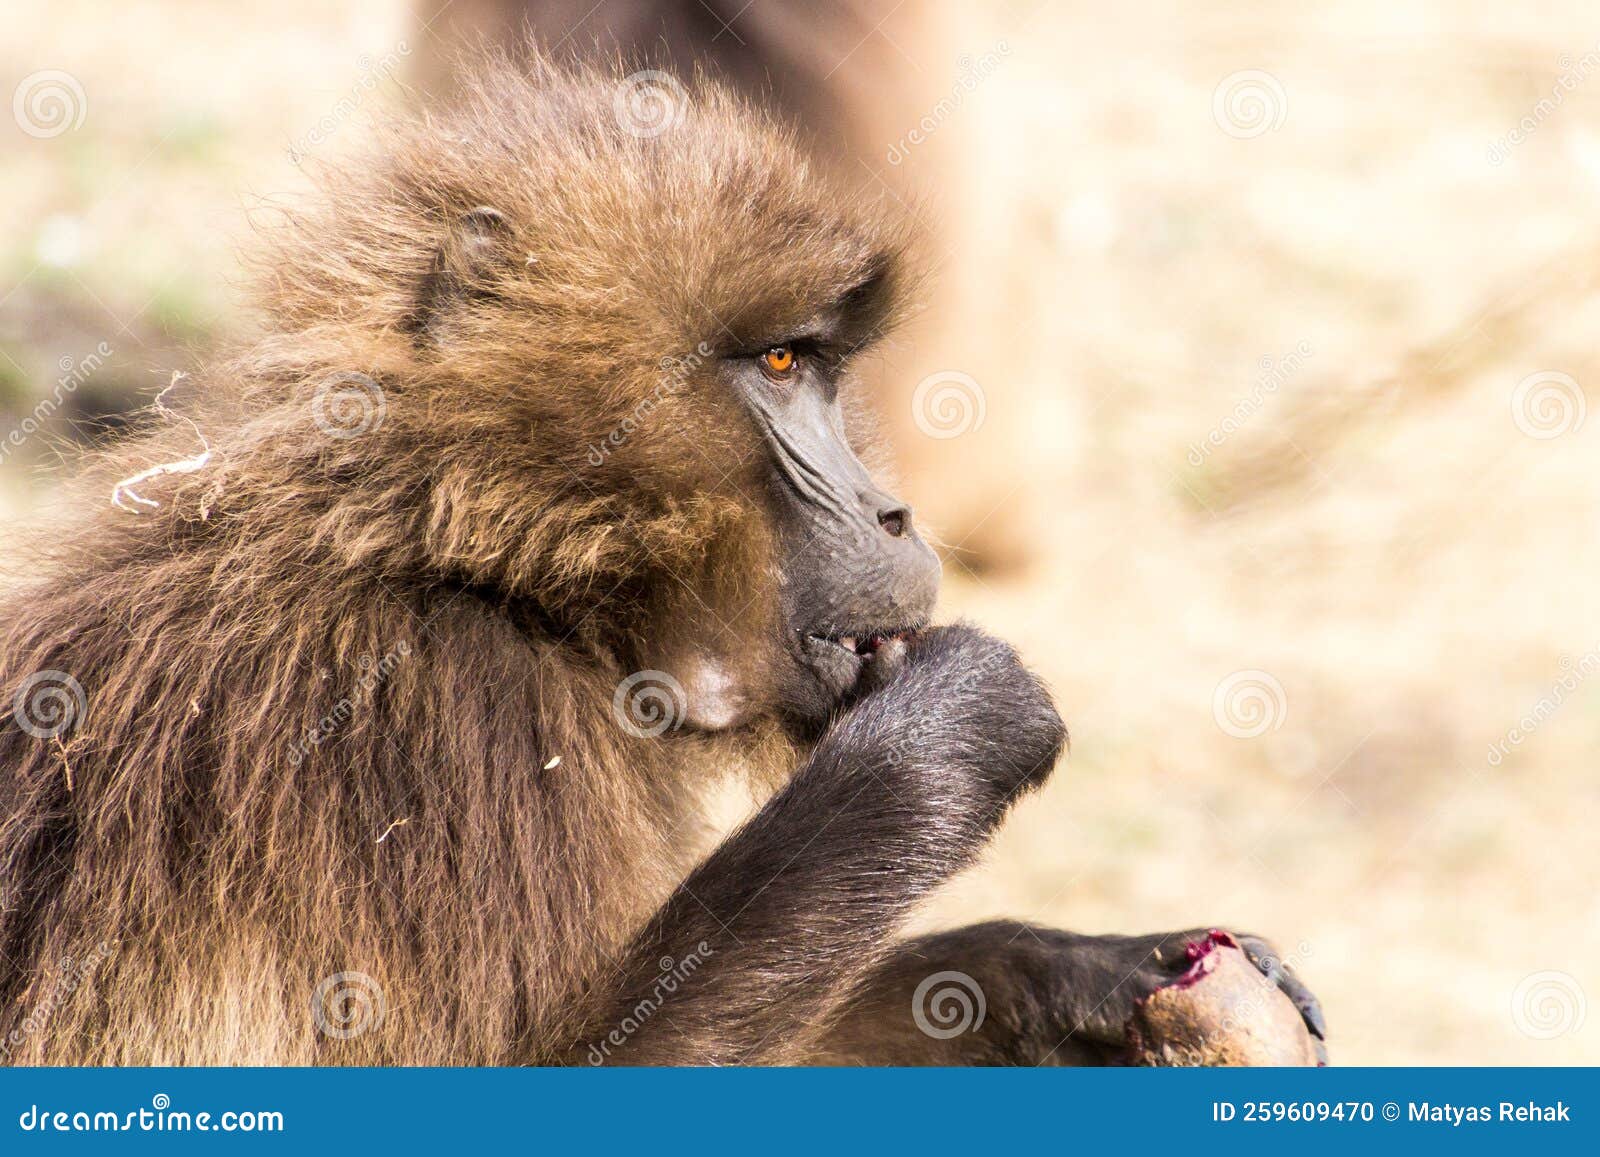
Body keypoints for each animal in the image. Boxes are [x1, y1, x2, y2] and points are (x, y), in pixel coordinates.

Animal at [0, 50, 1325, 1066]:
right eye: (781, 364)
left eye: (823, 366)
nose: (893, 512)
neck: (465, 558)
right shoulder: (433, 716)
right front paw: (945, 733)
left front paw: (1069, 975)